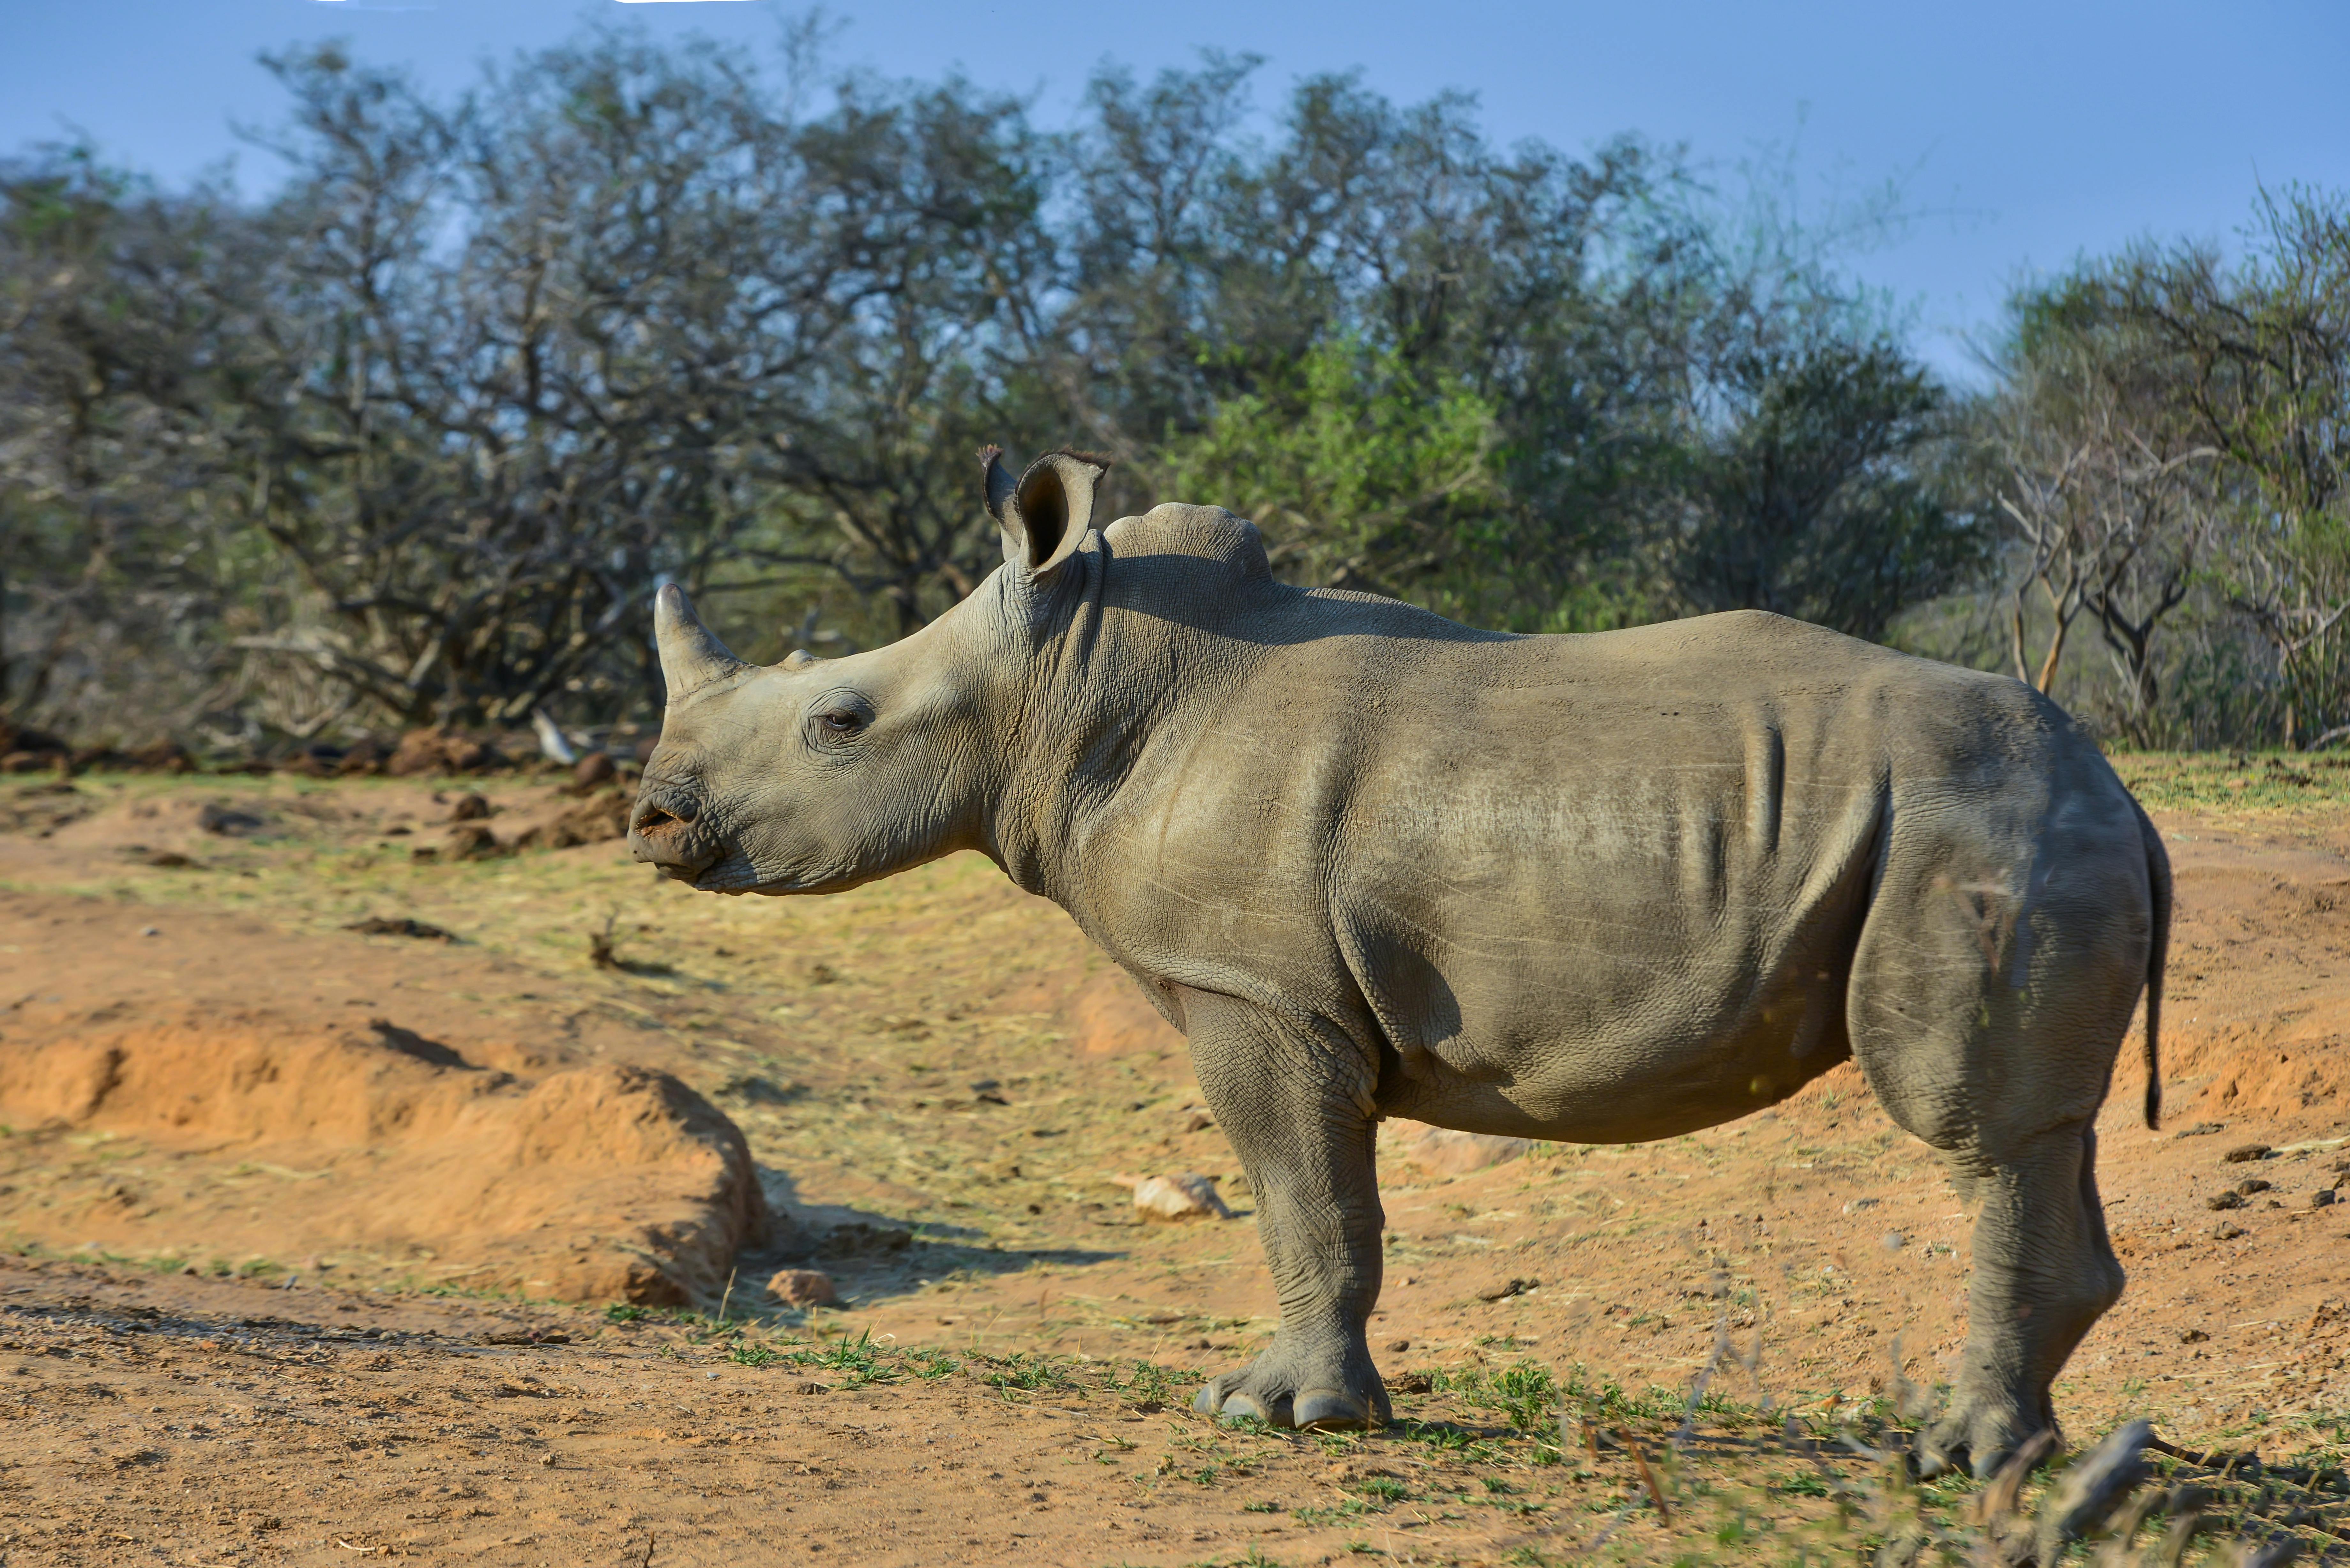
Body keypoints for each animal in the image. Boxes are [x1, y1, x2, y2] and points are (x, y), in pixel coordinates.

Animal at [630, 447, 2169, 1478]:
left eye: (839, 721)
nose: (649, 818)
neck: (1064, 681)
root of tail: (2124, 792)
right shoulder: (1286, 995)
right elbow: (1325, 1203)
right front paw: (1316, 1404)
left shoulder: (1259, 992)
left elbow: (1306, 1202)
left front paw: (1277, 1413)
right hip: (2006, 828)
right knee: (2047, 1135)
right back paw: (2029, 1456)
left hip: (1983, 829)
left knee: (1980, 1134)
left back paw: (1956, 1458)